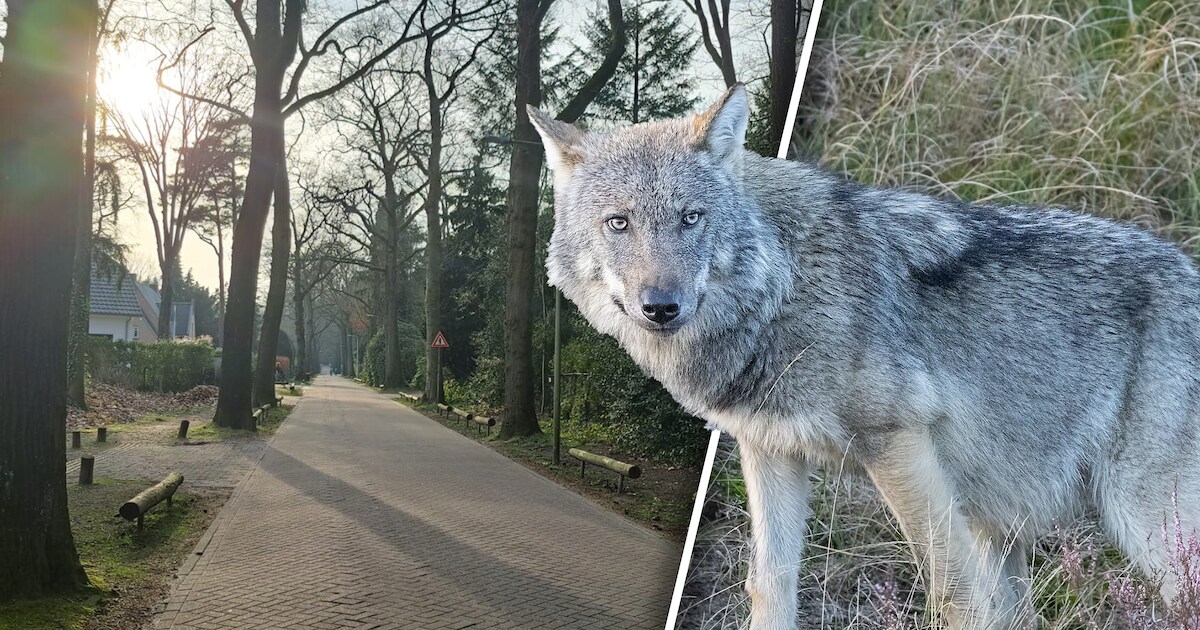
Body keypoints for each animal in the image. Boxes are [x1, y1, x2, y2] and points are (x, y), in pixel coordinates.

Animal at [528, 84, 1200, 629]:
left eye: (691, 219)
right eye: (619, 224)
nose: (661, 307)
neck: (785, 284)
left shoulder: (895, 445)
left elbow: (954, 596)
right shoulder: (768, 450)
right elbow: (768, 585)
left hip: (1145, 529)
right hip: (1003, 523)